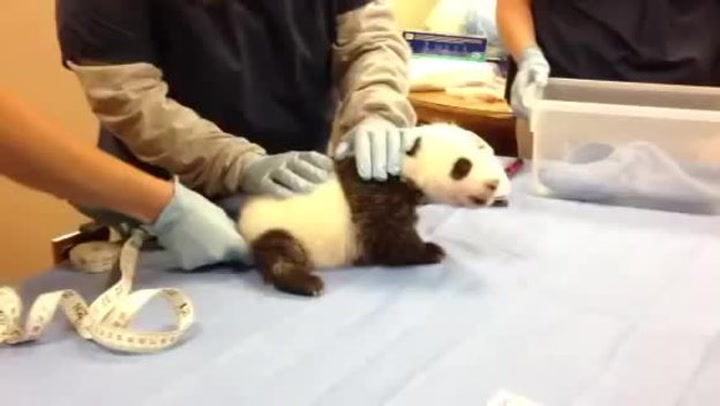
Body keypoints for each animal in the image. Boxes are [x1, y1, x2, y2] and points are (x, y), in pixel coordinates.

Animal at [237, 123, 511, 297]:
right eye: (463, 166)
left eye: (488, 154)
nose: (493, 183)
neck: (402, 164)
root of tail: (244, 220)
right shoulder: (377, 191)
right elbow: (389, 236)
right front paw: (430, 251)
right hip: (279, 225)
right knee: (281, 254)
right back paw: (307, 283)